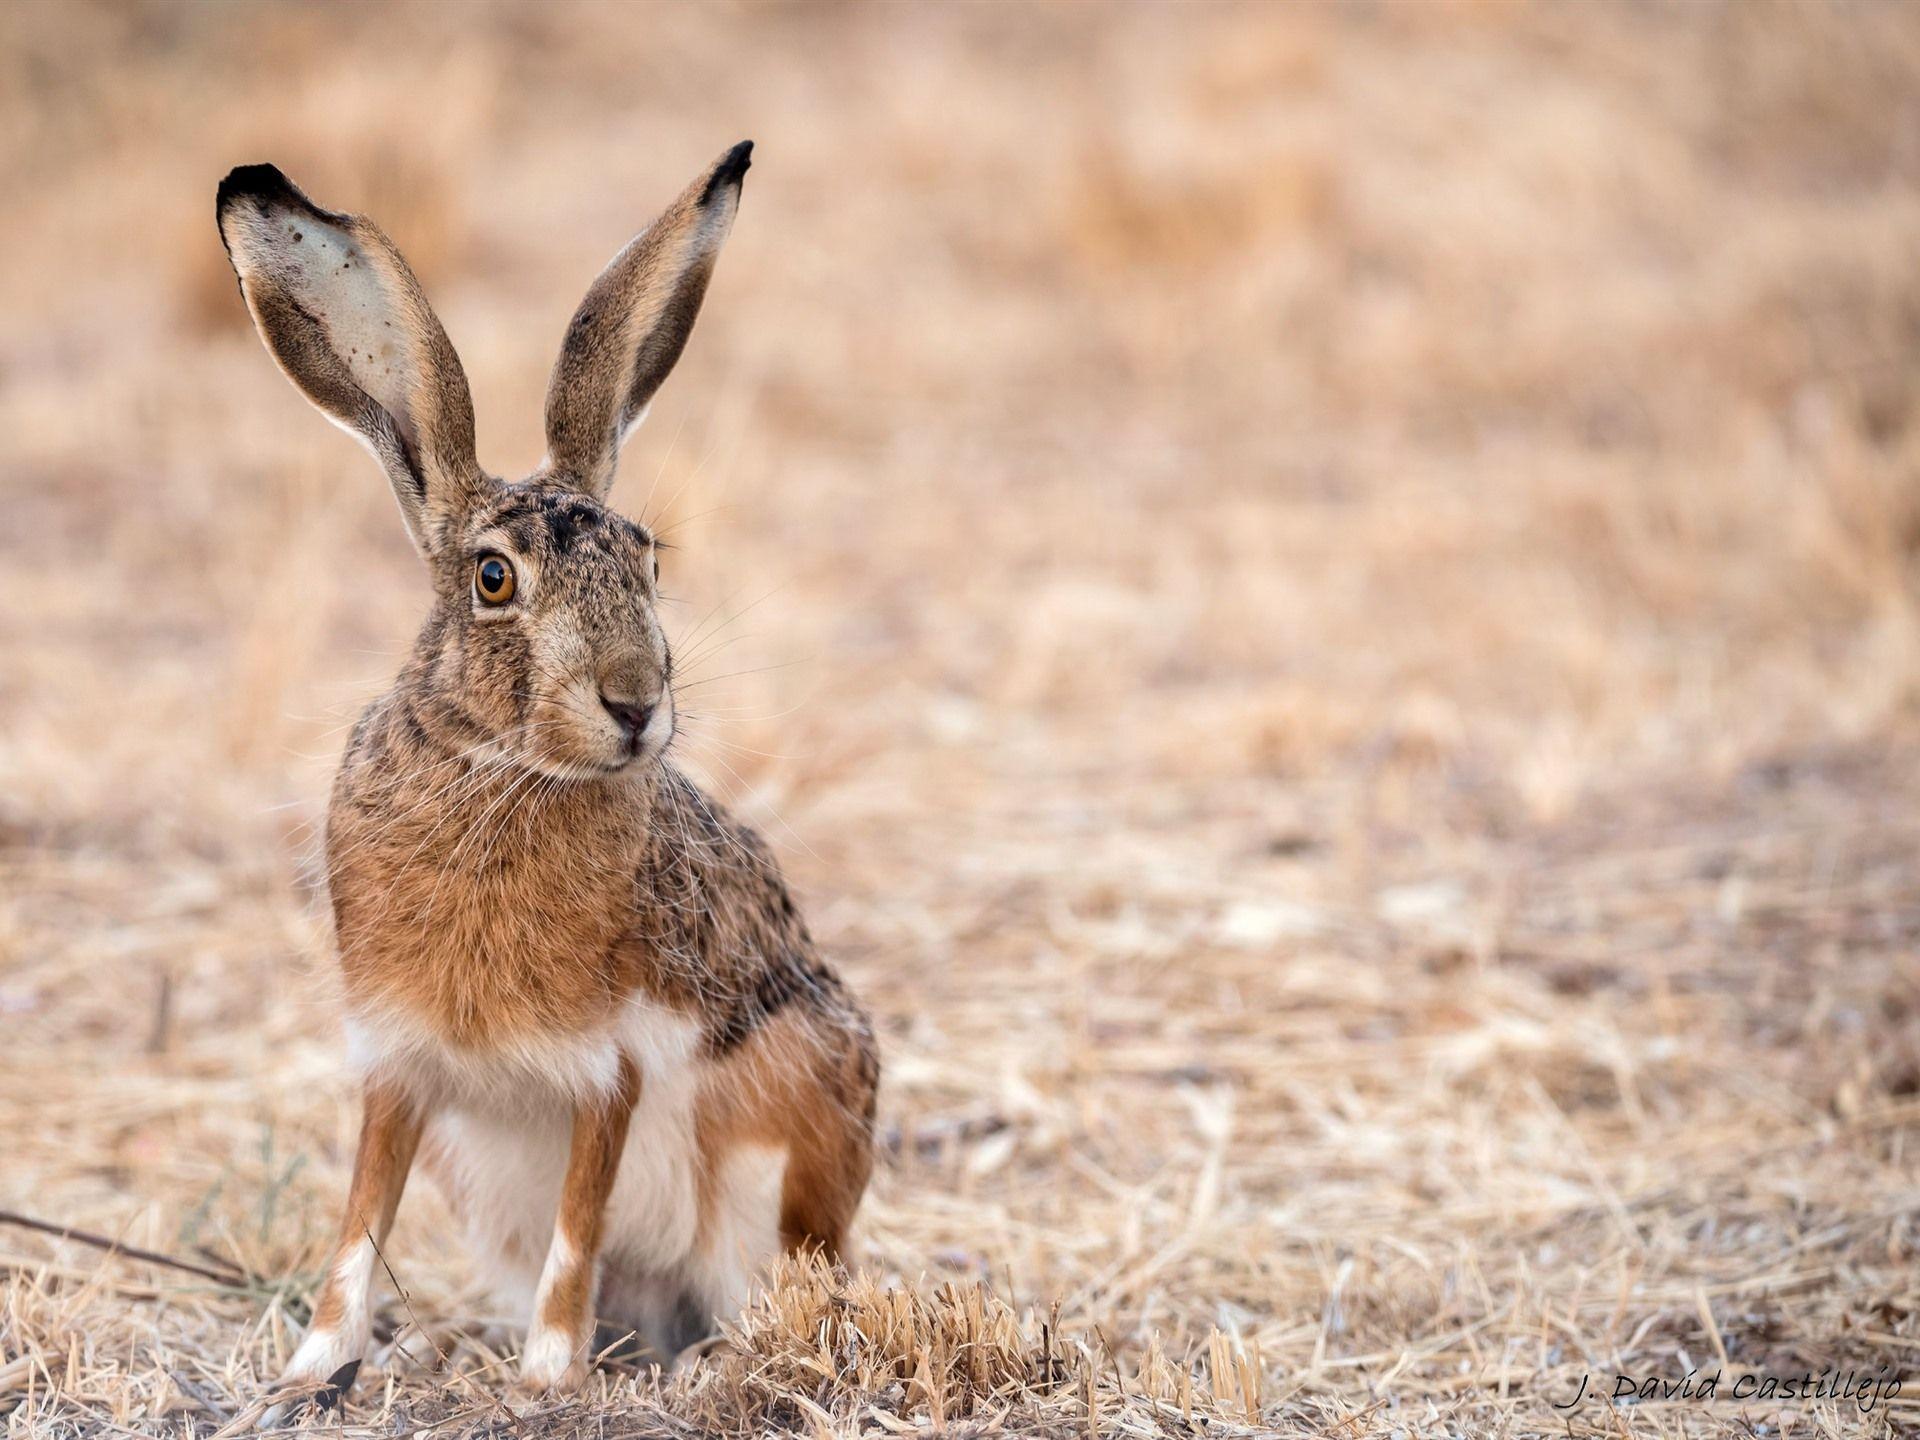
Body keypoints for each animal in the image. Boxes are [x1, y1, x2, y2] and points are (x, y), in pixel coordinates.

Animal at [215, 143, 878, 1420]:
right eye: (492, 579)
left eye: (648, 560)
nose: (635, 704)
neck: (505, 772)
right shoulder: (397, 1065)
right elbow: (357, 1228)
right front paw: (307, 1374)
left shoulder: (605, 1072)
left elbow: (580, 1234)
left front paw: (546, 1377)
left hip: (781, 1141)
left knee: (774, 1292)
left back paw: (709, 1360)